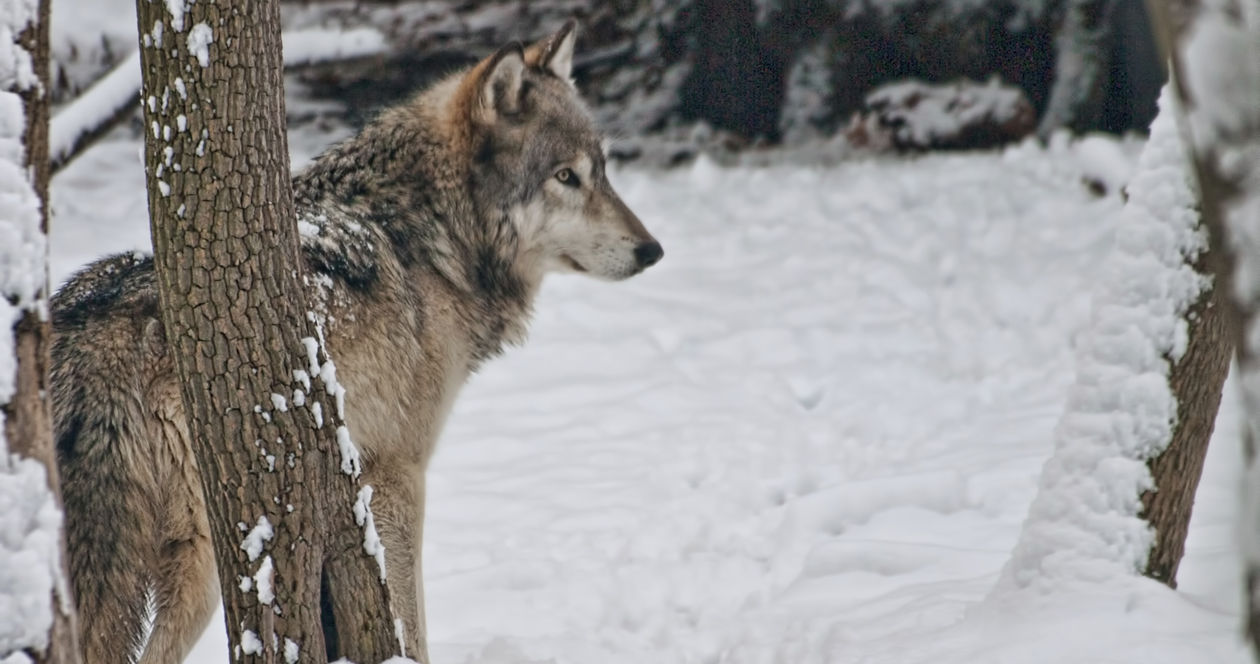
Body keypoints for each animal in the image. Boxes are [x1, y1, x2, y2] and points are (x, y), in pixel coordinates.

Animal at [51, 21, 661, 664]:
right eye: (566, 177)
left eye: (602, 171)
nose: (654, 250)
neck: (435, 240)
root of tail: (91, 331)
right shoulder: (396, 477)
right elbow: (412, 622)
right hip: (201, 565)